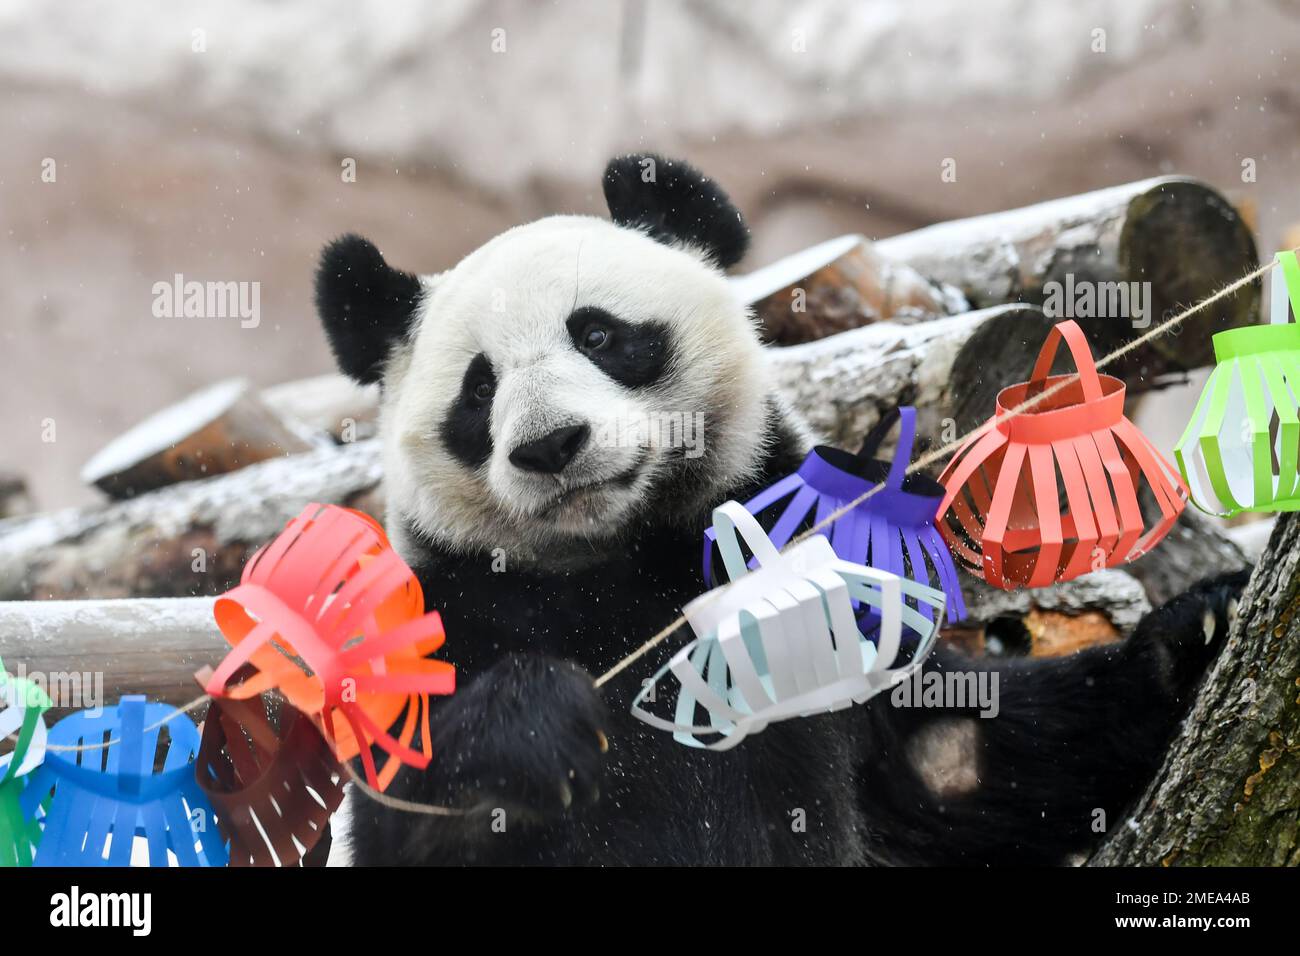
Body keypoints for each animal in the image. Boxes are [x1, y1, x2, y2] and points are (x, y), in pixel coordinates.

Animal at [315, 153, 1247, 866]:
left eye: (600, 335)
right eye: (479, 390)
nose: (551, 445)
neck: (618, 557)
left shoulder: (832, 578)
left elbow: (956, 759)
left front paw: (1195, 632)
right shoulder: (456, 612)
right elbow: (421, 811)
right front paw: (537, 729)